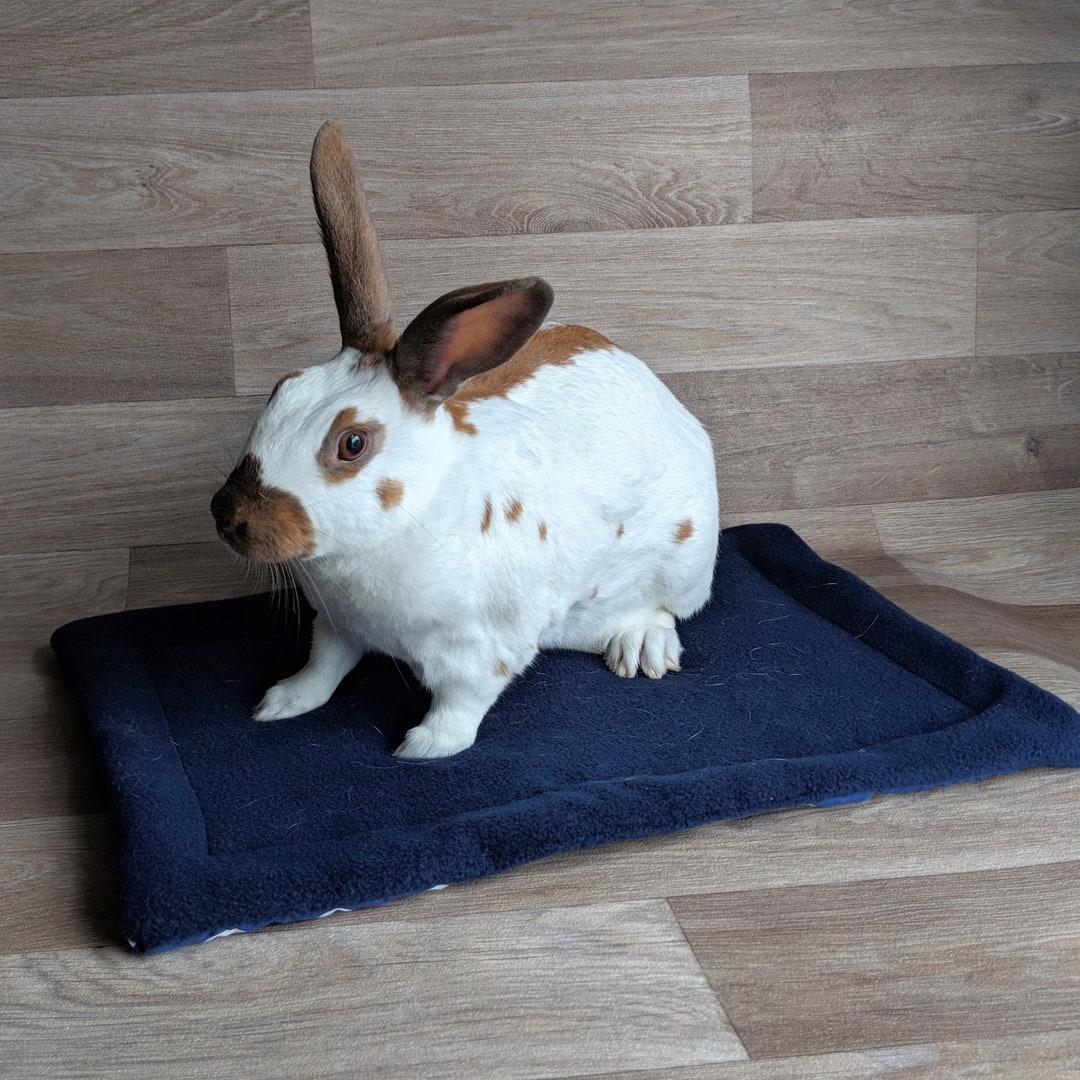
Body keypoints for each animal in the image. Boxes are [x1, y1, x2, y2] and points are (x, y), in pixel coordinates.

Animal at [211, 122, 719, 759]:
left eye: (352, 444)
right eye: (281, 389)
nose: (227, 515)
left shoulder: (483, 651)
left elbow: (462, 703)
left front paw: (423, 747)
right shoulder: (334, 626)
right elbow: (322, 668)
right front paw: (281, 702)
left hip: (685, 564)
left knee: (664, 611)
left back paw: (643, 651)